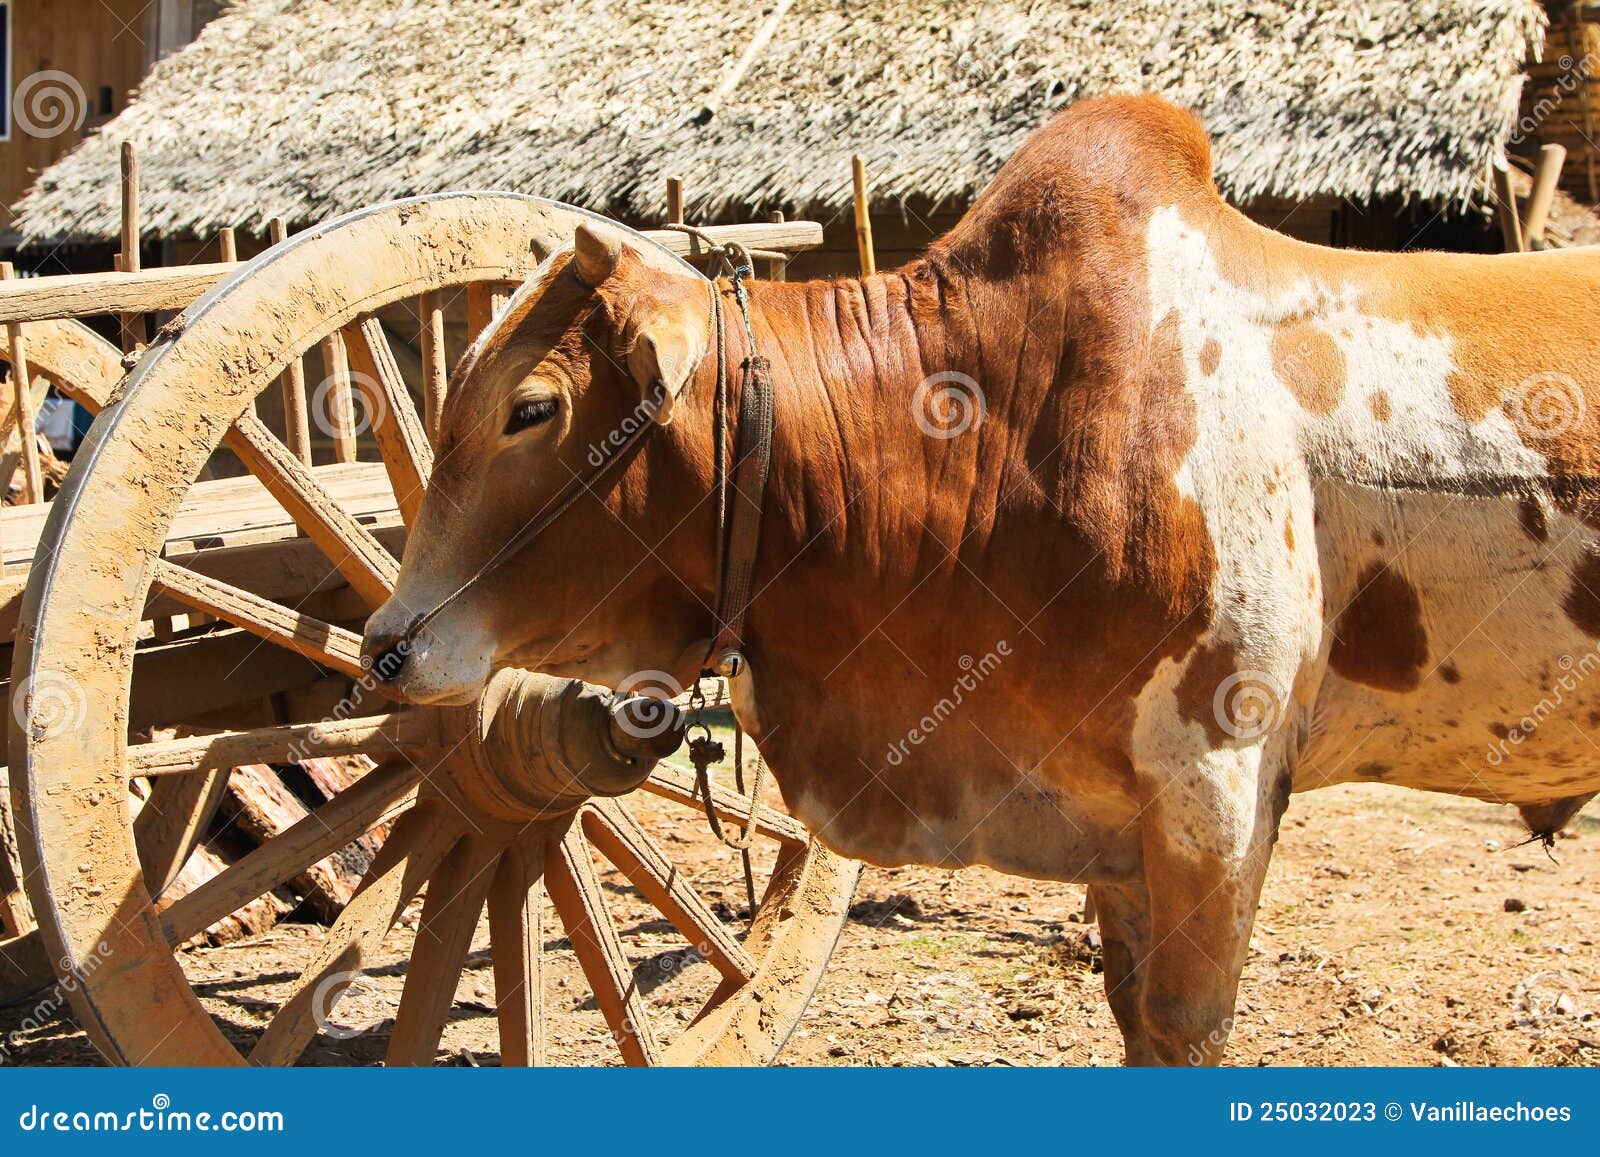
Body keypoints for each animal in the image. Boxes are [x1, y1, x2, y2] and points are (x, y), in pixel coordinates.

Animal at [363, 94, 1600, 1065]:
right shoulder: (1120, 817)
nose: (385, 643)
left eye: (532, 407)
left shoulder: (1219, 779)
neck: (1003, 420)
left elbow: (1186, 1025)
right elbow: (1133, 1017)